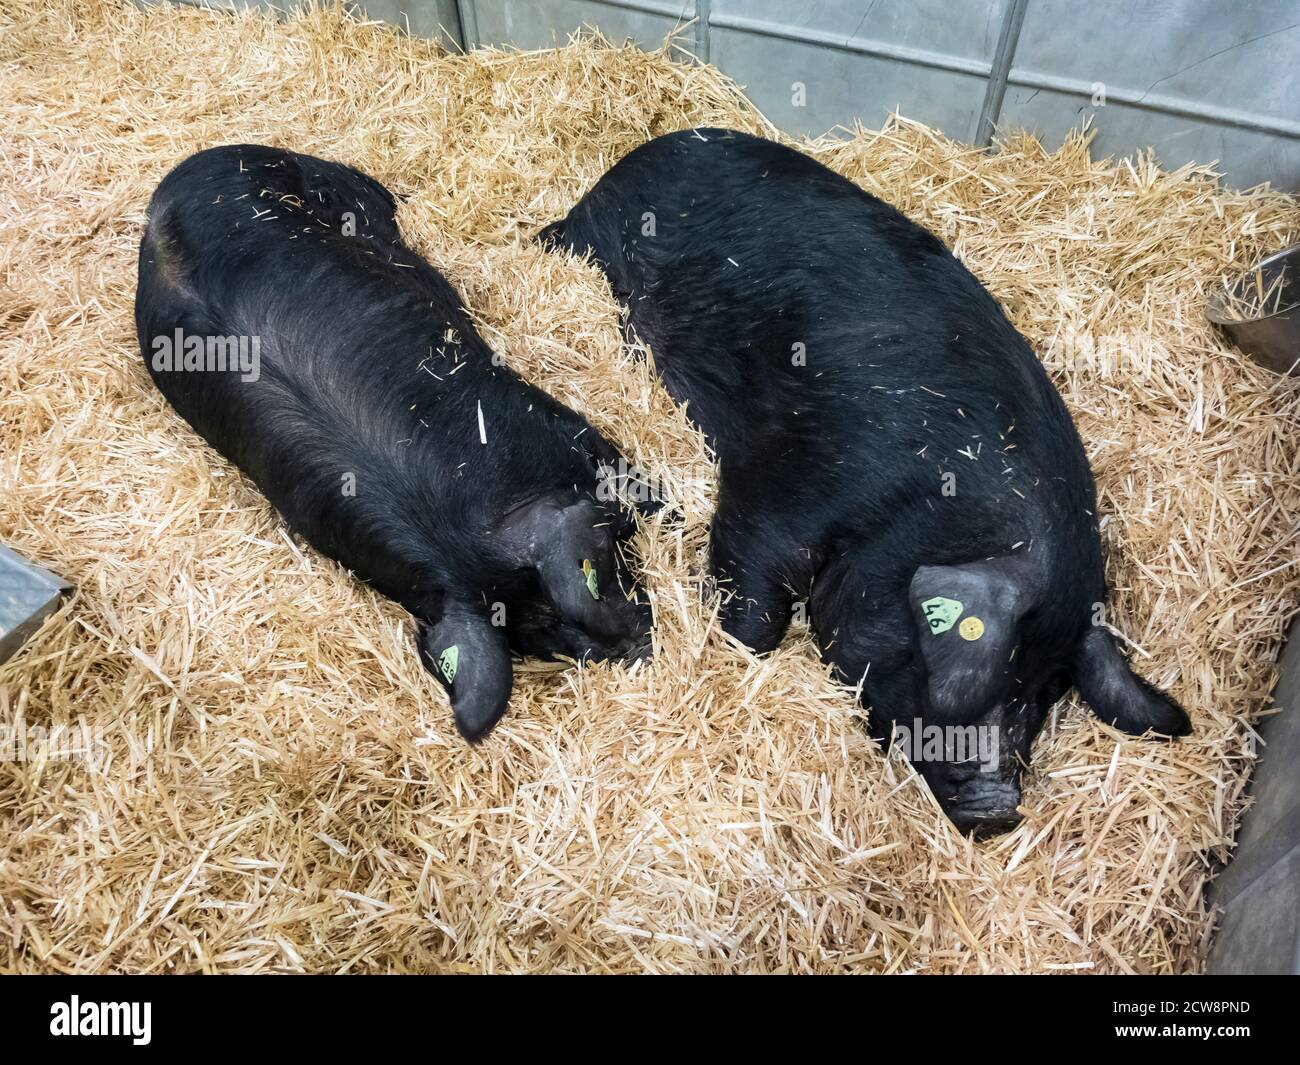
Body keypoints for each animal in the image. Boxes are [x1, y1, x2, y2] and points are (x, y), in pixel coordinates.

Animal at [136, 144, 651, 741]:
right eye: (544, 643)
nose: (642, 645)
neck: (457, 532)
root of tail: (168, 189)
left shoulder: (559, 427)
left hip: (322, 184)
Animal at [539, 127, 1189, 836]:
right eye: (996, 672)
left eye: (1048, 692)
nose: (1000, 809)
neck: (932, 513)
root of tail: (639, 155)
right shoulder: (791, 484)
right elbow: (754, 586)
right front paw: (733, 650)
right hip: (595, 242)